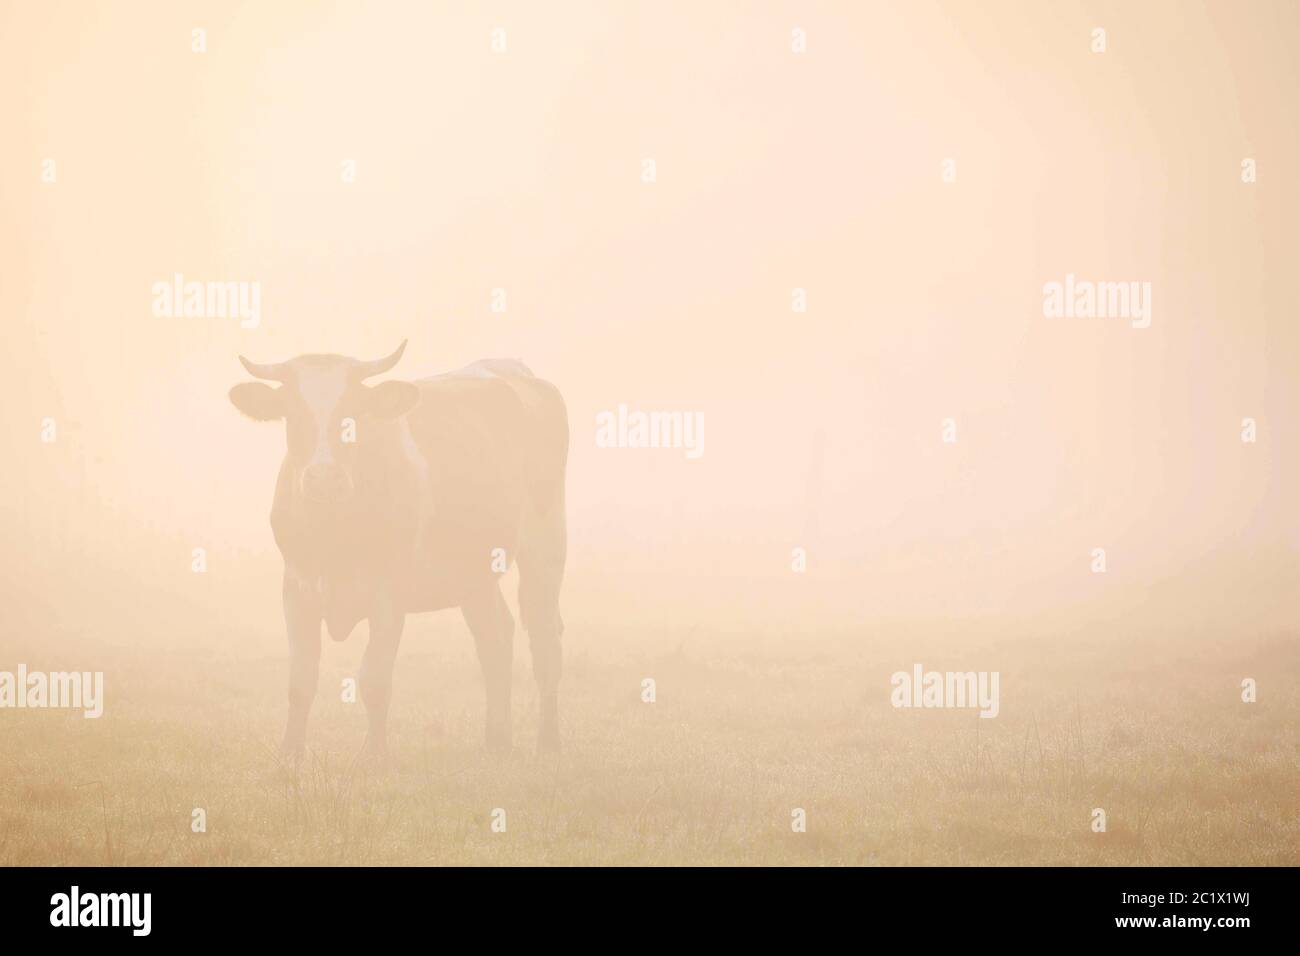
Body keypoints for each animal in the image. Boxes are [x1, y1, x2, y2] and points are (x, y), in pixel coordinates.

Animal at [228, 342, 568, 757]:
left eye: (355, 411)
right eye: (292, 412)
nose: (324, 478)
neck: (334, 536)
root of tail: (512, 369)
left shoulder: (389, 595)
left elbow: (374, 680)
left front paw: (373, 756)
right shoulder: (295, 588)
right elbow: (301, 681)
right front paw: (289, 756)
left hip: (546, 541)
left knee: (545, 640)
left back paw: (548, 742)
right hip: (473, 570)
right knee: (496, 636)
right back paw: (496, 741)